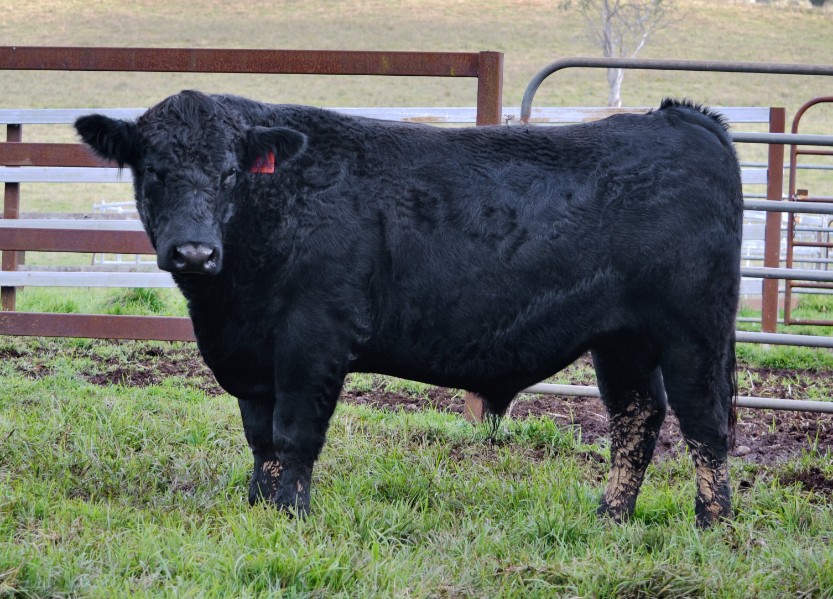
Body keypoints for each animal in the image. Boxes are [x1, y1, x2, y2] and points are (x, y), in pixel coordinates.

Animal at [75, 92, 742, 527]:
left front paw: (290, 517)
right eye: (152, 170)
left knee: (705, 421)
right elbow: (260, 440)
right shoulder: (252, 354)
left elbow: (294, 435)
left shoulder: (313, 339)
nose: (194, 251)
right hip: (623, 338)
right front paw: (257, 508)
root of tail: (679, 117)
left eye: (231, 172)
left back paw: (712, 525)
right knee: (637, 417)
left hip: (694, 330)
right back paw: (610, 516)